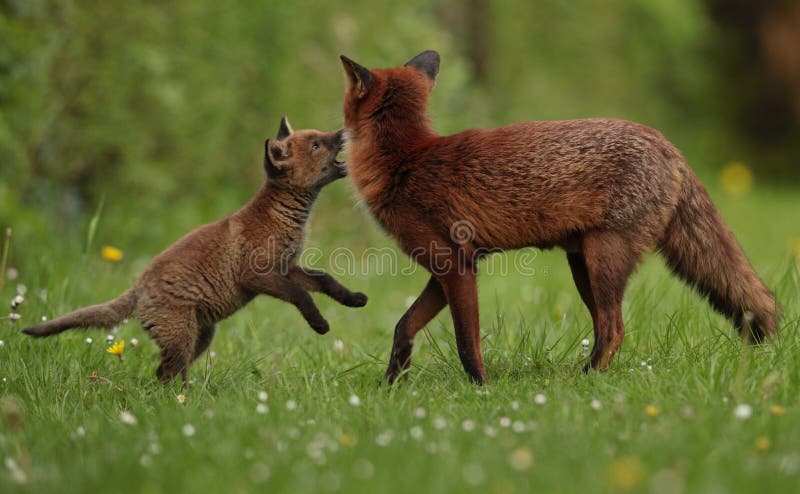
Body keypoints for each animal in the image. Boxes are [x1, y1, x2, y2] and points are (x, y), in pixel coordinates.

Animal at [22, 117, 367, 383]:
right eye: (316, 145)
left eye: (321, 136)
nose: (343, 131)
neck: (279, 217)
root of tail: (138, 287)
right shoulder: (256, 275)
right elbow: (302, 296)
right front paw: (319, 324)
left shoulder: (289, 267)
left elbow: (324, 280)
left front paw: (353, 299)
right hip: (182, 336)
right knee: (171, 372)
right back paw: (184, 403)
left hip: (201, 336)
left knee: (162, 372)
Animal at [339, 50, 779, 384]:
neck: (405, 159)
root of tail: (665, 142)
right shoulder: (447, 267)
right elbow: (404, 326)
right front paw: (390, 384)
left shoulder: (457, 265)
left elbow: (466, 342)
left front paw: (480, 388)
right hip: (582, 265)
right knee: (607, 327)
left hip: (603, 259)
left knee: (615, 328)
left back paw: (583, 380)